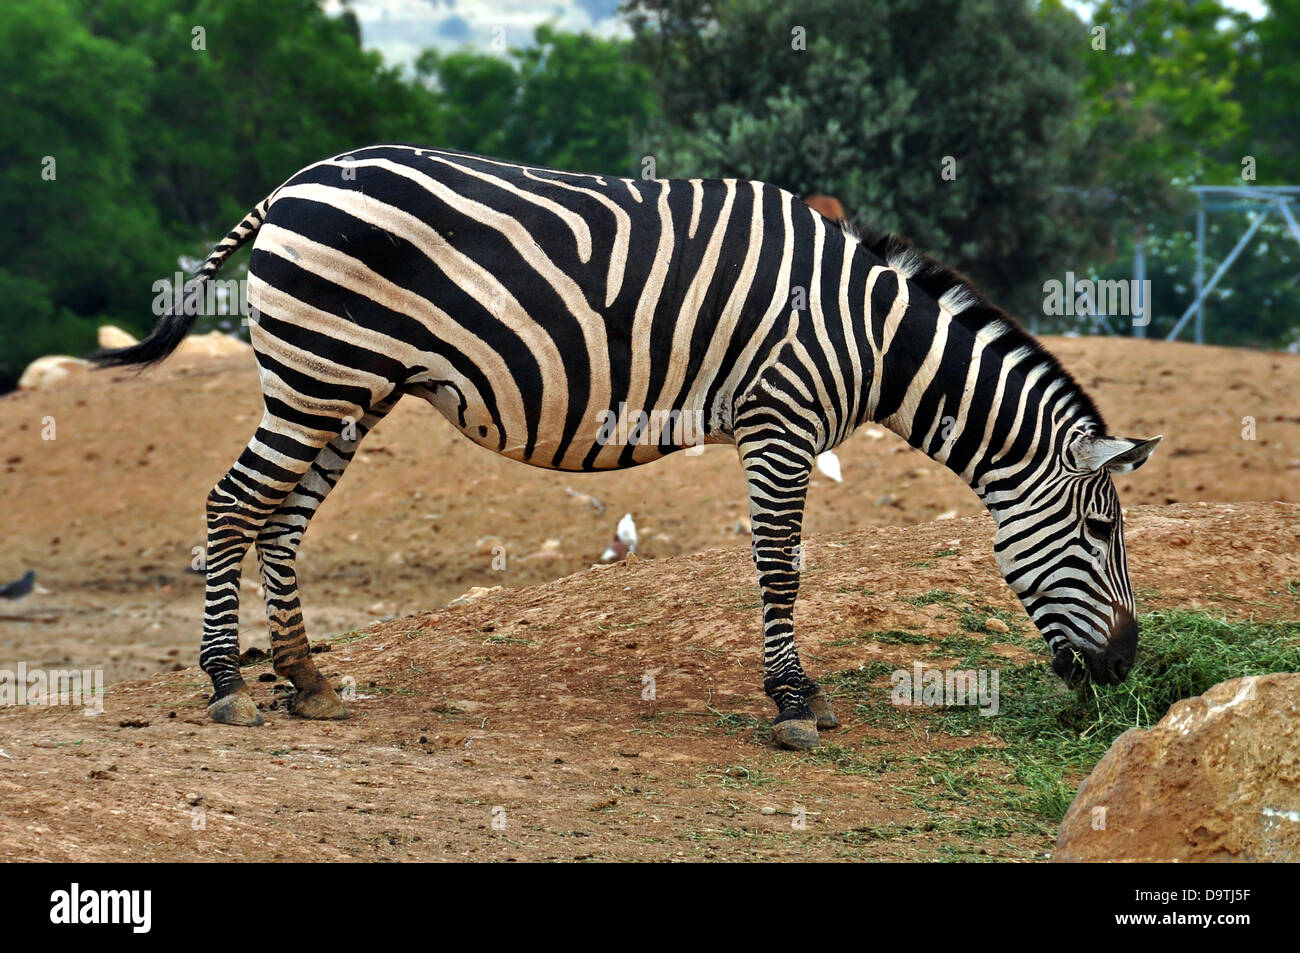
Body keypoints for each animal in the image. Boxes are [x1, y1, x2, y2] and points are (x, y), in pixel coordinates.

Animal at [91, 144, 1160, 750]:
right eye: (1103, 533)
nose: (1124, 666)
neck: (868, 330)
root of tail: (290, 184)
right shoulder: (780, 420)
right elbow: (781, 564)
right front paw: (793, 703)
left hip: (351, 388)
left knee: (281, 518)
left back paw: (305, 680)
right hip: (321, 371)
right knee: (233, 503)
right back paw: (229, 684)